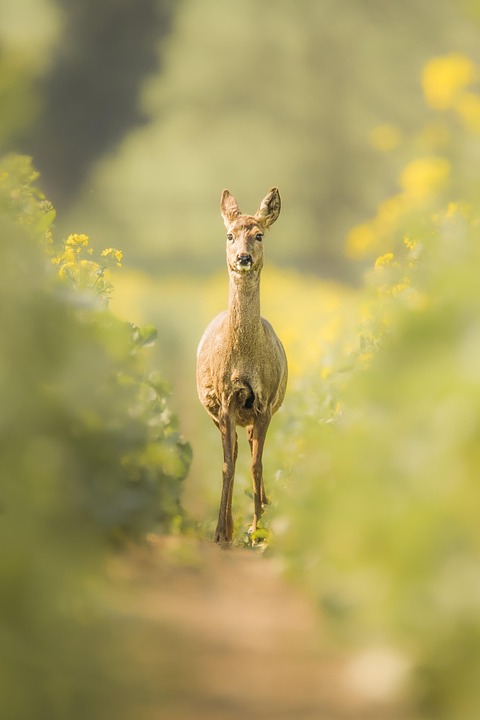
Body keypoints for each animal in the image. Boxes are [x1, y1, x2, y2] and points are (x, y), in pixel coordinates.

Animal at [196, 188, 288, 544]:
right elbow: (227, 465)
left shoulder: (263, 401)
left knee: (249, 451)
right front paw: (221, 533)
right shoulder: (225, 399)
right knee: (235, 453)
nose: (243, 258)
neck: (243, 358)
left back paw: (263, 508)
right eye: (229, 235)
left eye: (259, 234)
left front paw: (258, 529)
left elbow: (256, 465)